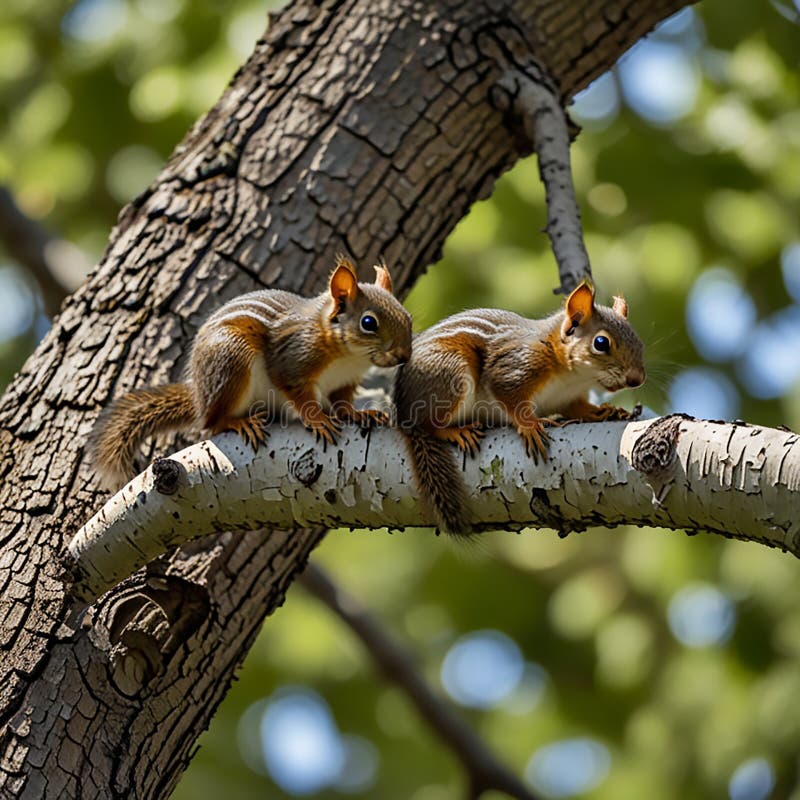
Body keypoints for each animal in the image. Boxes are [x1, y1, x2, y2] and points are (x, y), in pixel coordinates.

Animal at [90, 256, 412, 487]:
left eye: (407, 316)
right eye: (368, 323)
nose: (403, 356)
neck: (348, 357)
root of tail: (200, 397)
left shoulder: (344, 381)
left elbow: (343, 402)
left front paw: (359, 413)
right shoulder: (291, 361)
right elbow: (298, 394)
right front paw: (318, 419)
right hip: (231, 363)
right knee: (211, 424)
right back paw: (238, 422)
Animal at [393, 281, 645, 535]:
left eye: (638, 340)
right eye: (601, 343)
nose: (637, 379)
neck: (573, 377)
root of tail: (403, 411)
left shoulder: (567, 399)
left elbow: (578, 409)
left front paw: (605, 411)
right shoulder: (514, 367)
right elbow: (509, 397)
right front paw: (531, 425)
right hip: (450, 374)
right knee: (428, 424)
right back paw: (455, 431)